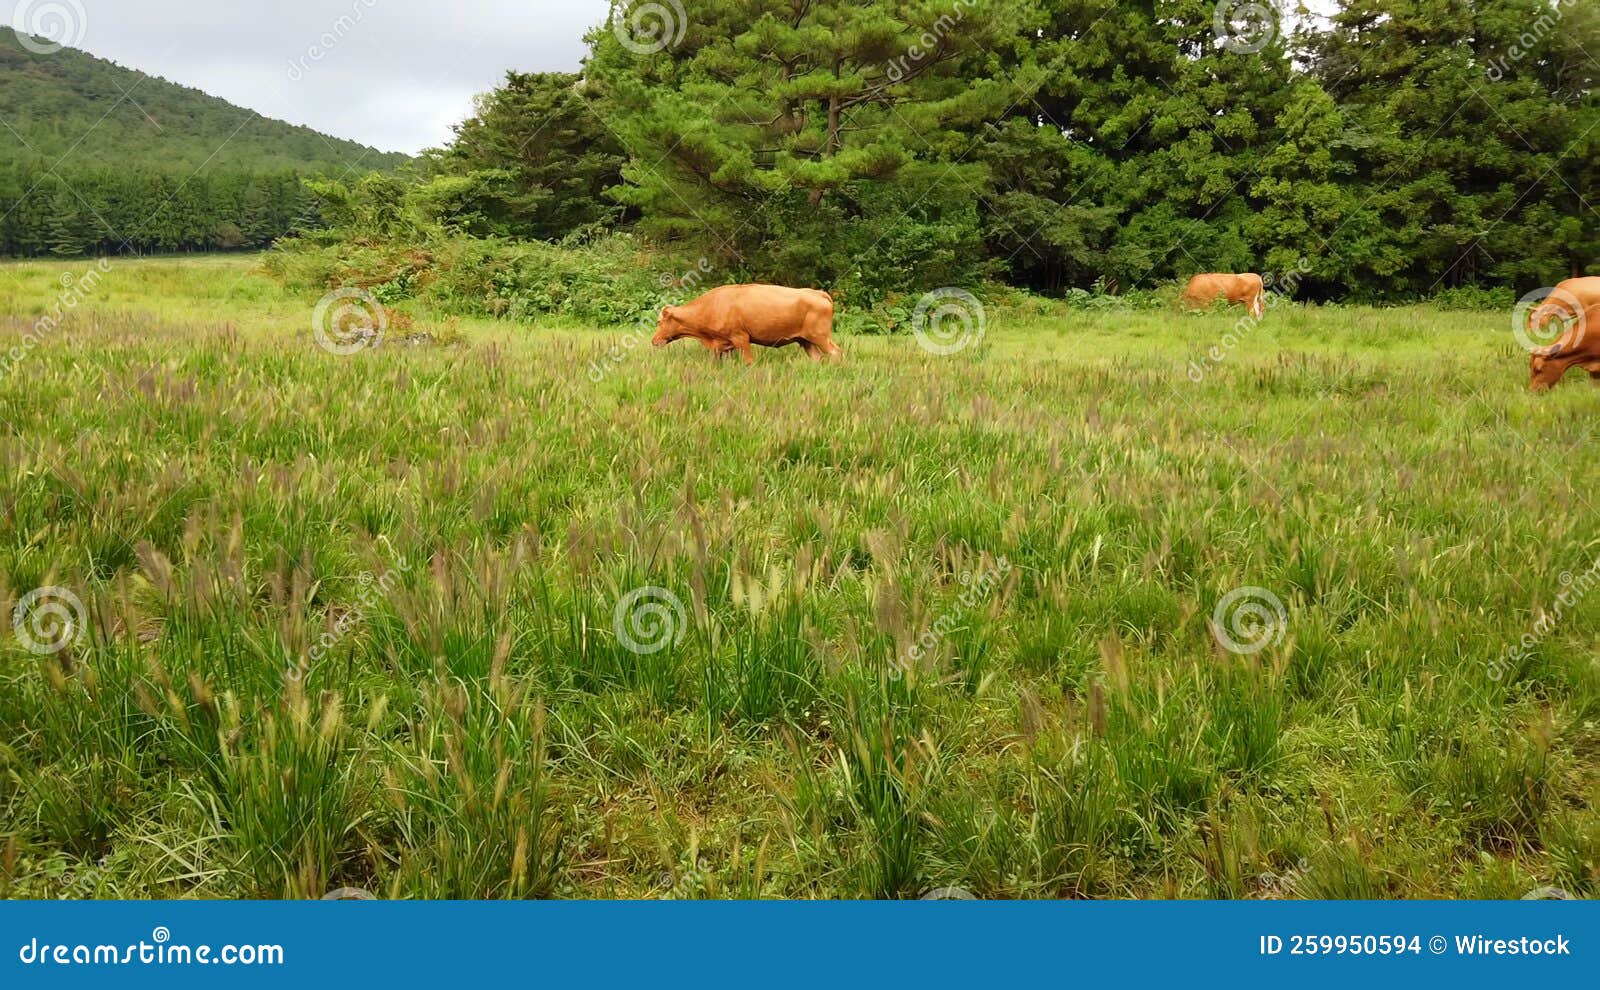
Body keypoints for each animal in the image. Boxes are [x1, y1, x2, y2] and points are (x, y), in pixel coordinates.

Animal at [652, 284, 841, 364]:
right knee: (817, 358)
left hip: (820, 337)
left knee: (836, 352)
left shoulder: (740, 338)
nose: (653, 341)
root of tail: (817, 293)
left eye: (659, 321)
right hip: (806, 341)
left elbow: (748, 361)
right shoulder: (725, 345)